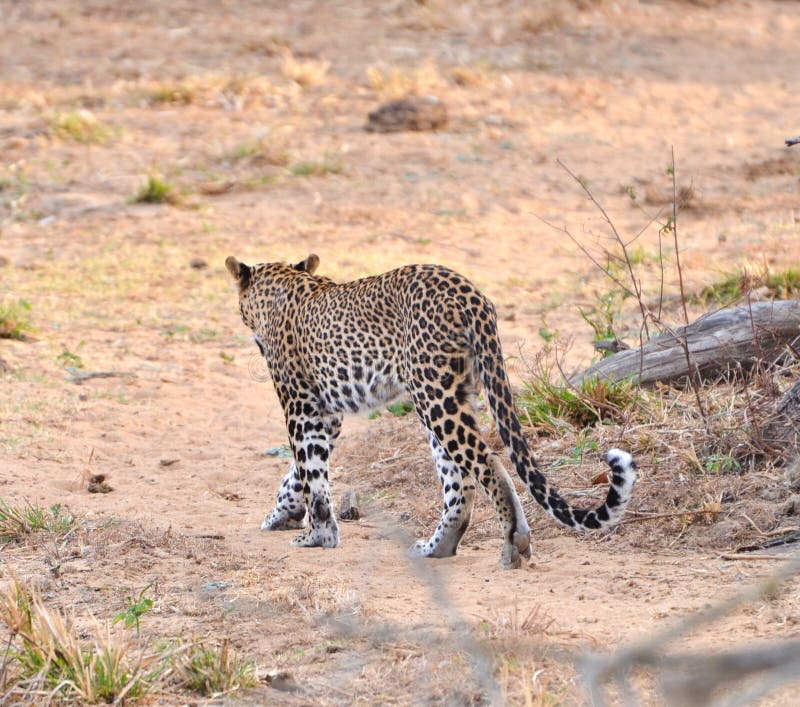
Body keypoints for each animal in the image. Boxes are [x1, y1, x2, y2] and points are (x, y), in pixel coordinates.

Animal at [225, 253, 637, 569]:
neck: (283, 287)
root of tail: (471, 293)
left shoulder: (301, 405)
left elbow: (309, 469)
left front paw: (318, 534)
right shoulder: (327, 413)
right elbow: (300, 472)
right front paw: (284, 513)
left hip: (432, 393)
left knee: (487, 462)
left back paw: (512, 542)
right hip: (451, 393)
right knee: (460, 481)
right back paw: (438, 547)